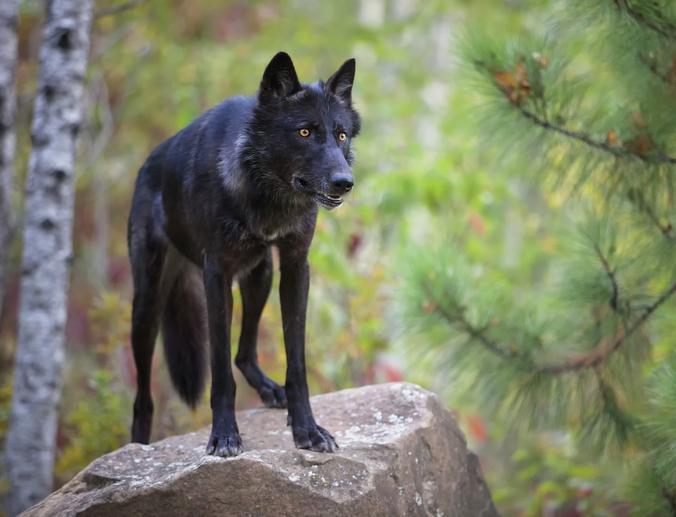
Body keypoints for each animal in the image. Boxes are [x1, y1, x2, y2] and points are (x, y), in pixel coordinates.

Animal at [127, 52, 360, 457]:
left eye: (341, 134)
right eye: (304, 132)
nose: (344, 182)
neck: (266, 193)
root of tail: (146, 166)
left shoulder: (295, 267)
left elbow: (296, 364)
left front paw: (307, 429)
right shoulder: (216, 275)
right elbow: (220, 372)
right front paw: (224, 435)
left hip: (259, 274)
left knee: (244, 352)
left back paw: (271, 391)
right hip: (147, 307)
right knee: (143, 400)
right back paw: (137, 447)